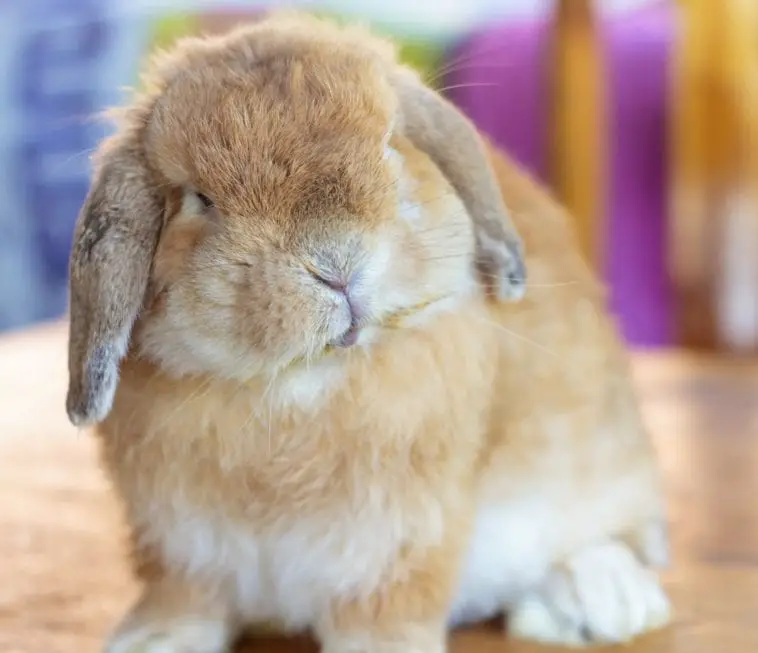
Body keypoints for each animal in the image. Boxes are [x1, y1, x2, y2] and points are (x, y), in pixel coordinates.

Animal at [65, 12, 670, 653]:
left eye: (388, 146)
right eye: (200, 199)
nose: (336, 264)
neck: (297, 381)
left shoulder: (398, 545)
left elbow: (384, 611)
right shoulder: (178, 544)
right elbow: (183, 599)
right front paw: (150, 640)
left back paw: (599, 602)